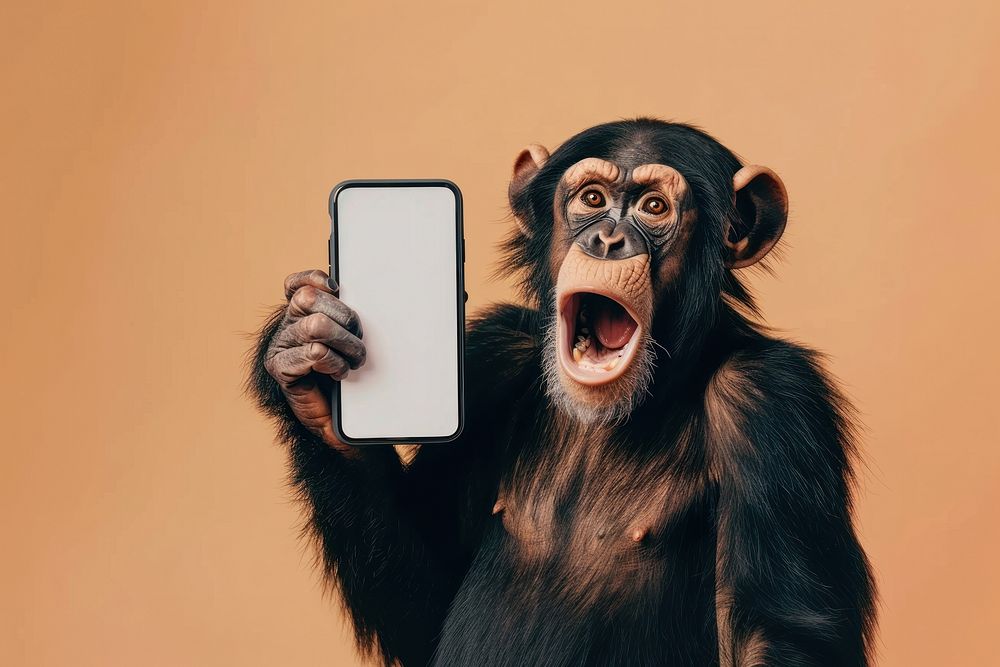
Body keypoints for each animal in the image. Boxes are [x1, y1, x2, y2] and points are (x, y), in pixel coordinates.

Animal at [247, 118, 877, 666]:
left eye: (653, 207)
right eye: (593, 199)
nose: (608, 239)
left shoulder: (773, 402)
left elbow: (773, 633)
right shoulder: (491, 356)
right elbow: (427, 604)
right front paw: (306, 350)